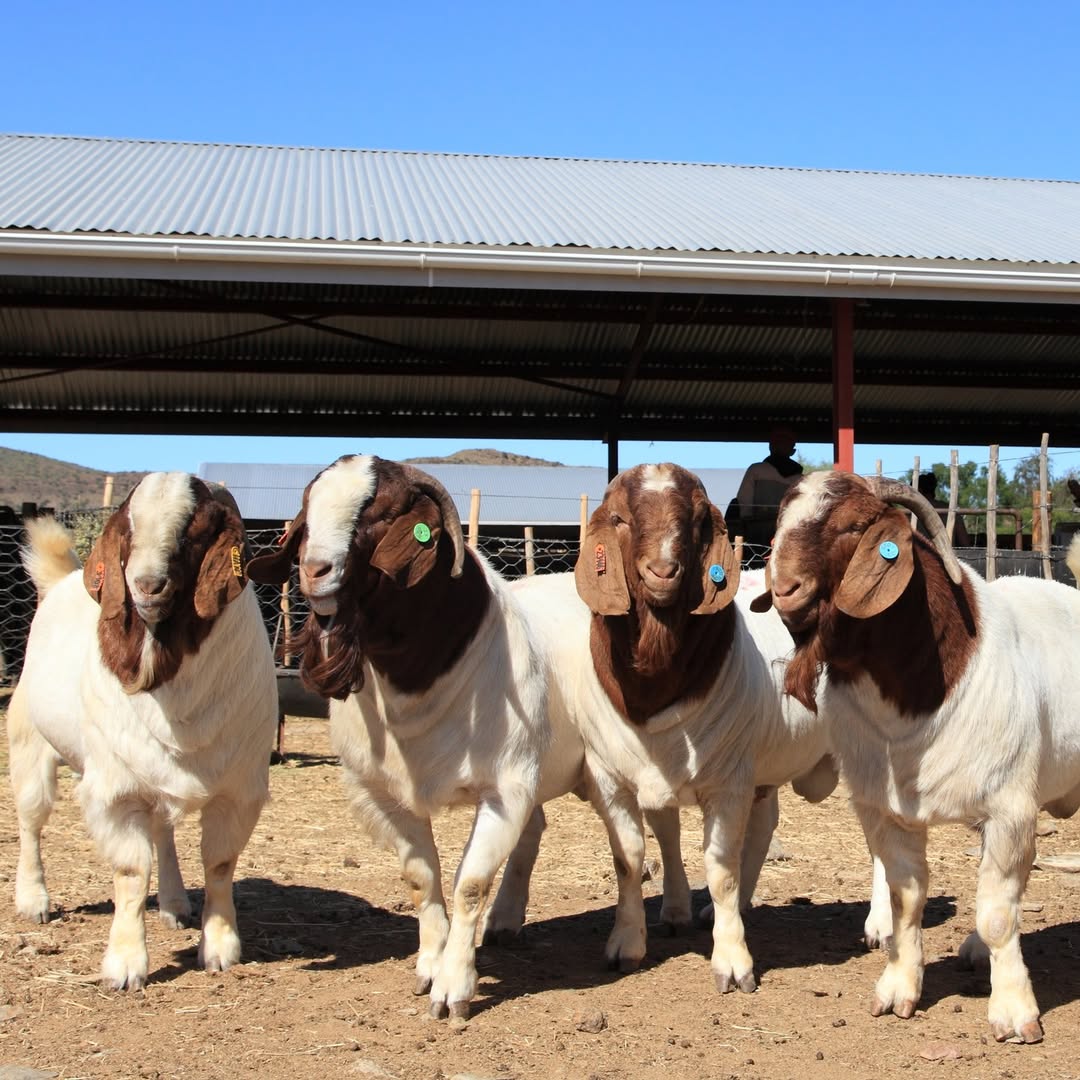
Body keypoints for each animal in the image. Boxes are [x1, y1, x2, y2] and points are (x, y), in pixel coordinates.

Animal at [7, 474, 277, 989]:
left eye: (195, 532)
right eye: (127, 531)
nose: (146, 585)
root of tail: (58, 584)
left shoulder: (238, 790)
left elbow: (218, 864)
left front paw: (219, 948)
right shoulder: (116, 789)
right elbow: (131, 870)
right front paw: (126, 965)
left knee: (162, 830)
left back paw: (174, 903)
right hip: (29, 744)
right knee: (31, 820)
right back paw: (33, 900)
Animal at [245, 455, 594, 1020]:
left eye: (383, 514)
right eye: (306, 509)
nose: (314, 570)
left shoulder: (504, 789)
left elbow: (469, 883)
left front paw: (454, 988)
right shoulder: (379, 794)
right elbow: (420, 878)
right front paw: (430, 965)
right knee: (534, 829)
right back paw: (505, 921)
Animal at [564, 462, 845, 992]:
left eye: (697, 523)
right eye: (619, 518)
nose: (662, 572)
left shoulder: (727, 782)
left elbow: (720, 870)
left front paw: (733, 962)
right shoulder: (615, 778)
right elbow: (632, 858)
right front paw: (628, 942)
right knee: (757, 826)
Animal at [754, 469, 1080, 1044]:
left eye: (854, 526)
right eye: (780, 522)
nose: (784, 589)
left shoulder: (1011, 809)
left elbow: (998, 913)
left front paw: (1014, 1012)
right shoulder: (886, 812)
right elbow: (906, 900)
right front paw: (898, 990)